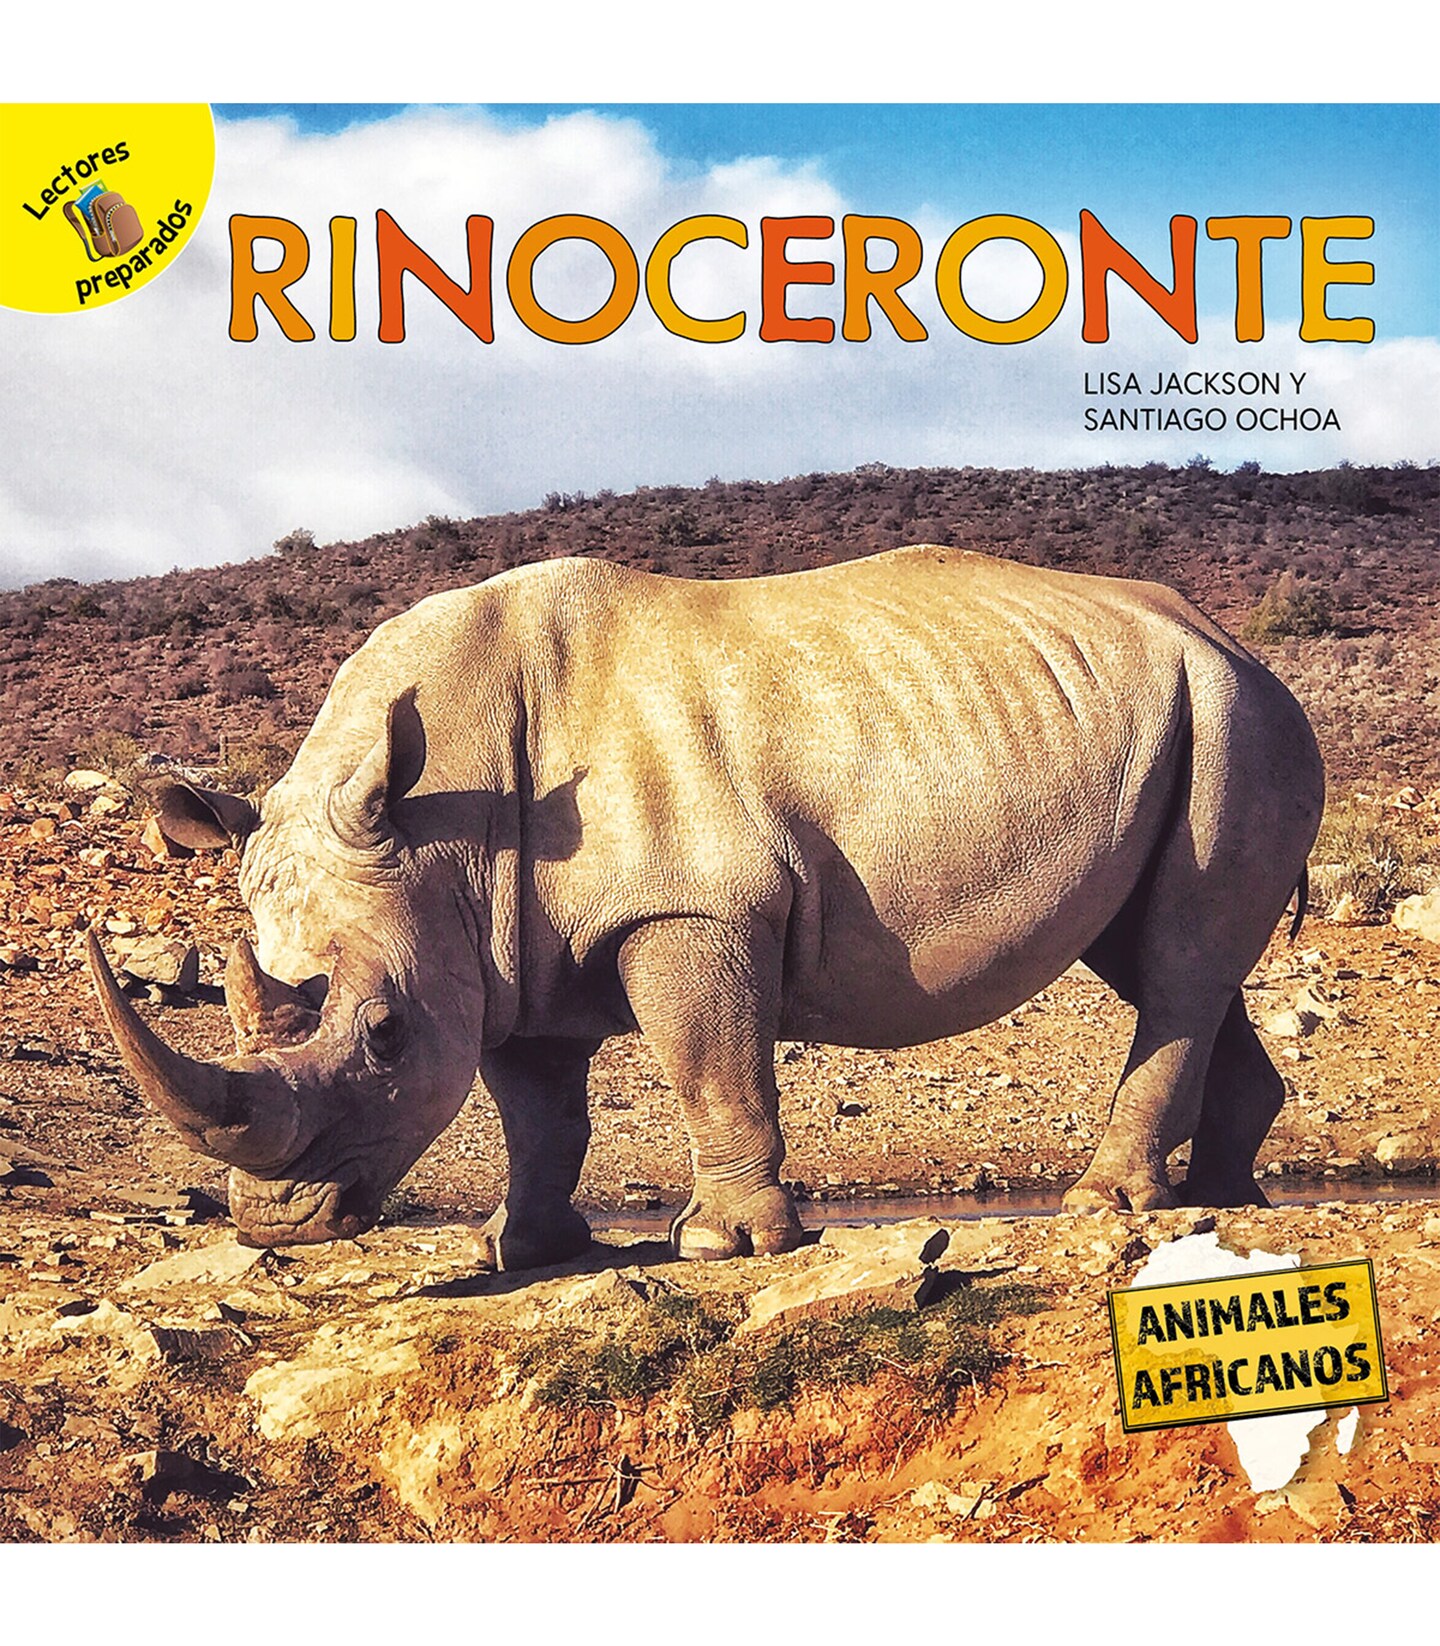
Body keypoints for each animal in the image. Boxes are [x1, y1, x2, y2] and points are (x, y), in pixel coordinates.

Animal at [88, 545, 1323, 1266]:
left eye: (383, 1035)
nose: (275, 1222)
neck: (440, 827)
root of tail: (1229, 637)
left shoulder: (691, 906)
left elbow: (708, 1061)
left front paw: (725, 1246)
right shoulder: (496, 949)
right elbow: (538, 1105)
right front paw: (519, 1249)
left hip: (1241, 715)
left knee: (1179, 956)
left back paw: (1107, 1206)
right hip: (1184, 717)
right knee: (1159, 953)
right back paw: (1226, 1197)